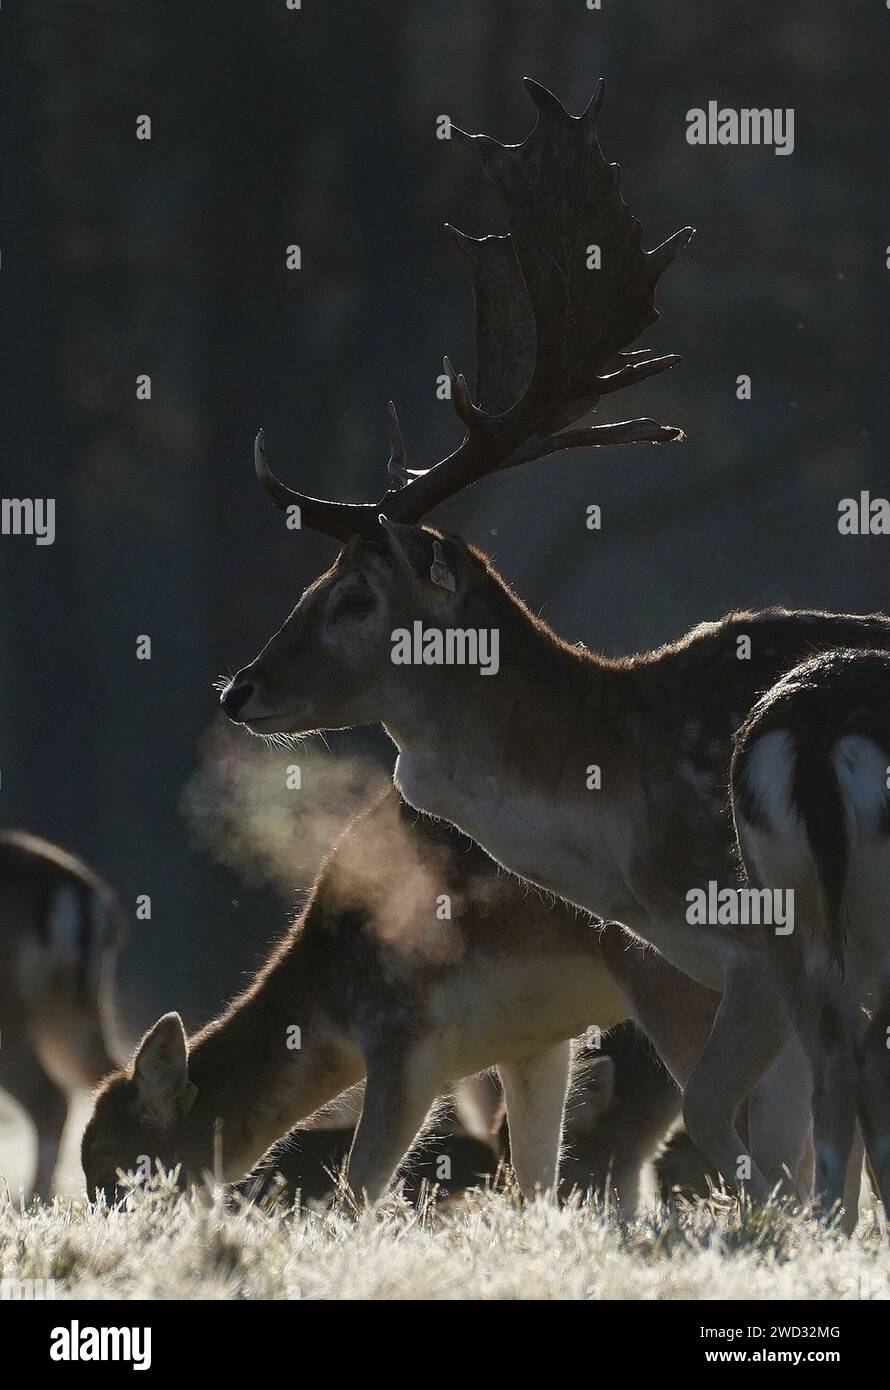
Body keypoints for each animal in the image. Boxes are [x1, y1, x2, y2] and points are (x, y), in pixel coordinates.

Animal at [82, 789, 721, 1209]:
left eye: (115, 1161)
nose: (113, 1227)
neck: (330, 1006)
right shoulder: (533, 1040)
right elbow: (534, 1173)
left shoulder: (407, 1033)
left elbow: (360, 1180)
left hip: (671, 976)